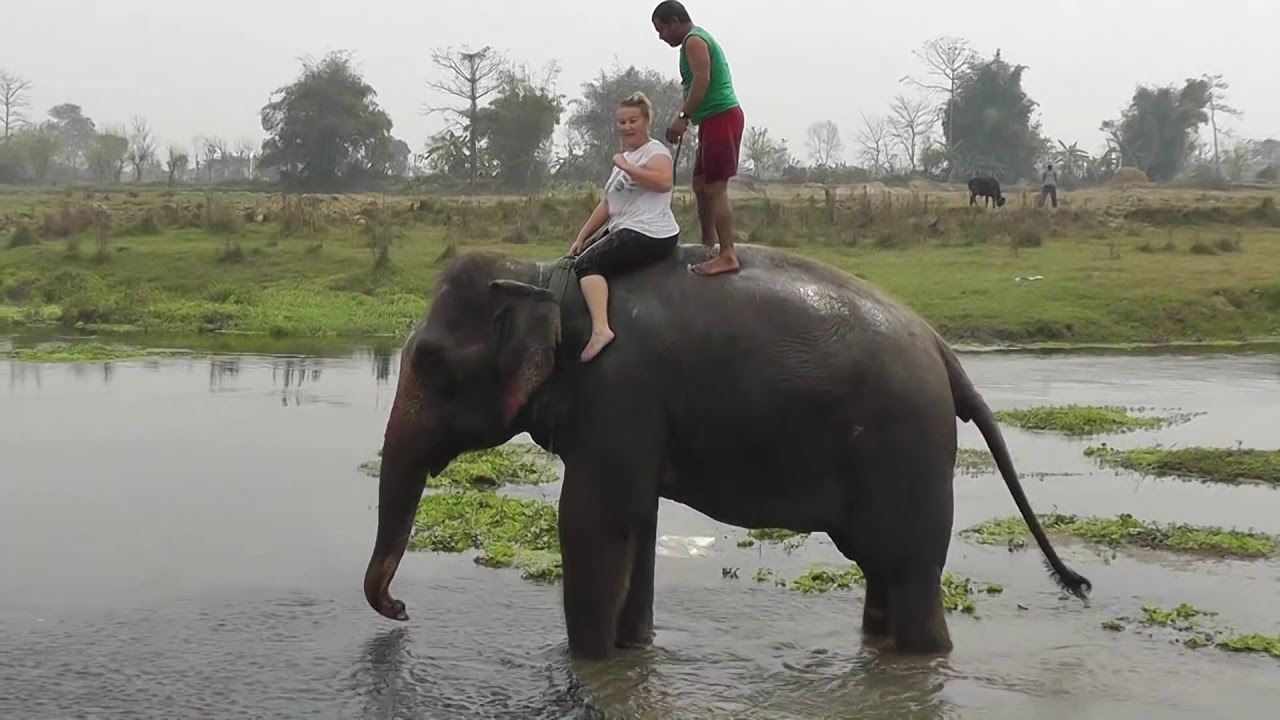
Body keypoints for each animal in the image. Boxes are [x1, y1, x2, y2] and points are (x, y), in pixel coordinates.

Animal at [362, 242, 1092, 661]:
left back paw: (923, 659)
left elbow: (595, 522)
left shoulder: (618, 391)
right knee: (882, 569)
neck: (549, 277)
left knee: (910, 572)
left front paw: (590, 665)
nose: (401, 611)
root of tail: (943, 350)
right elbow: (638, 523)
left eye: (430, 360)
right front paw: (634, 652)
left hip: (905, 447)